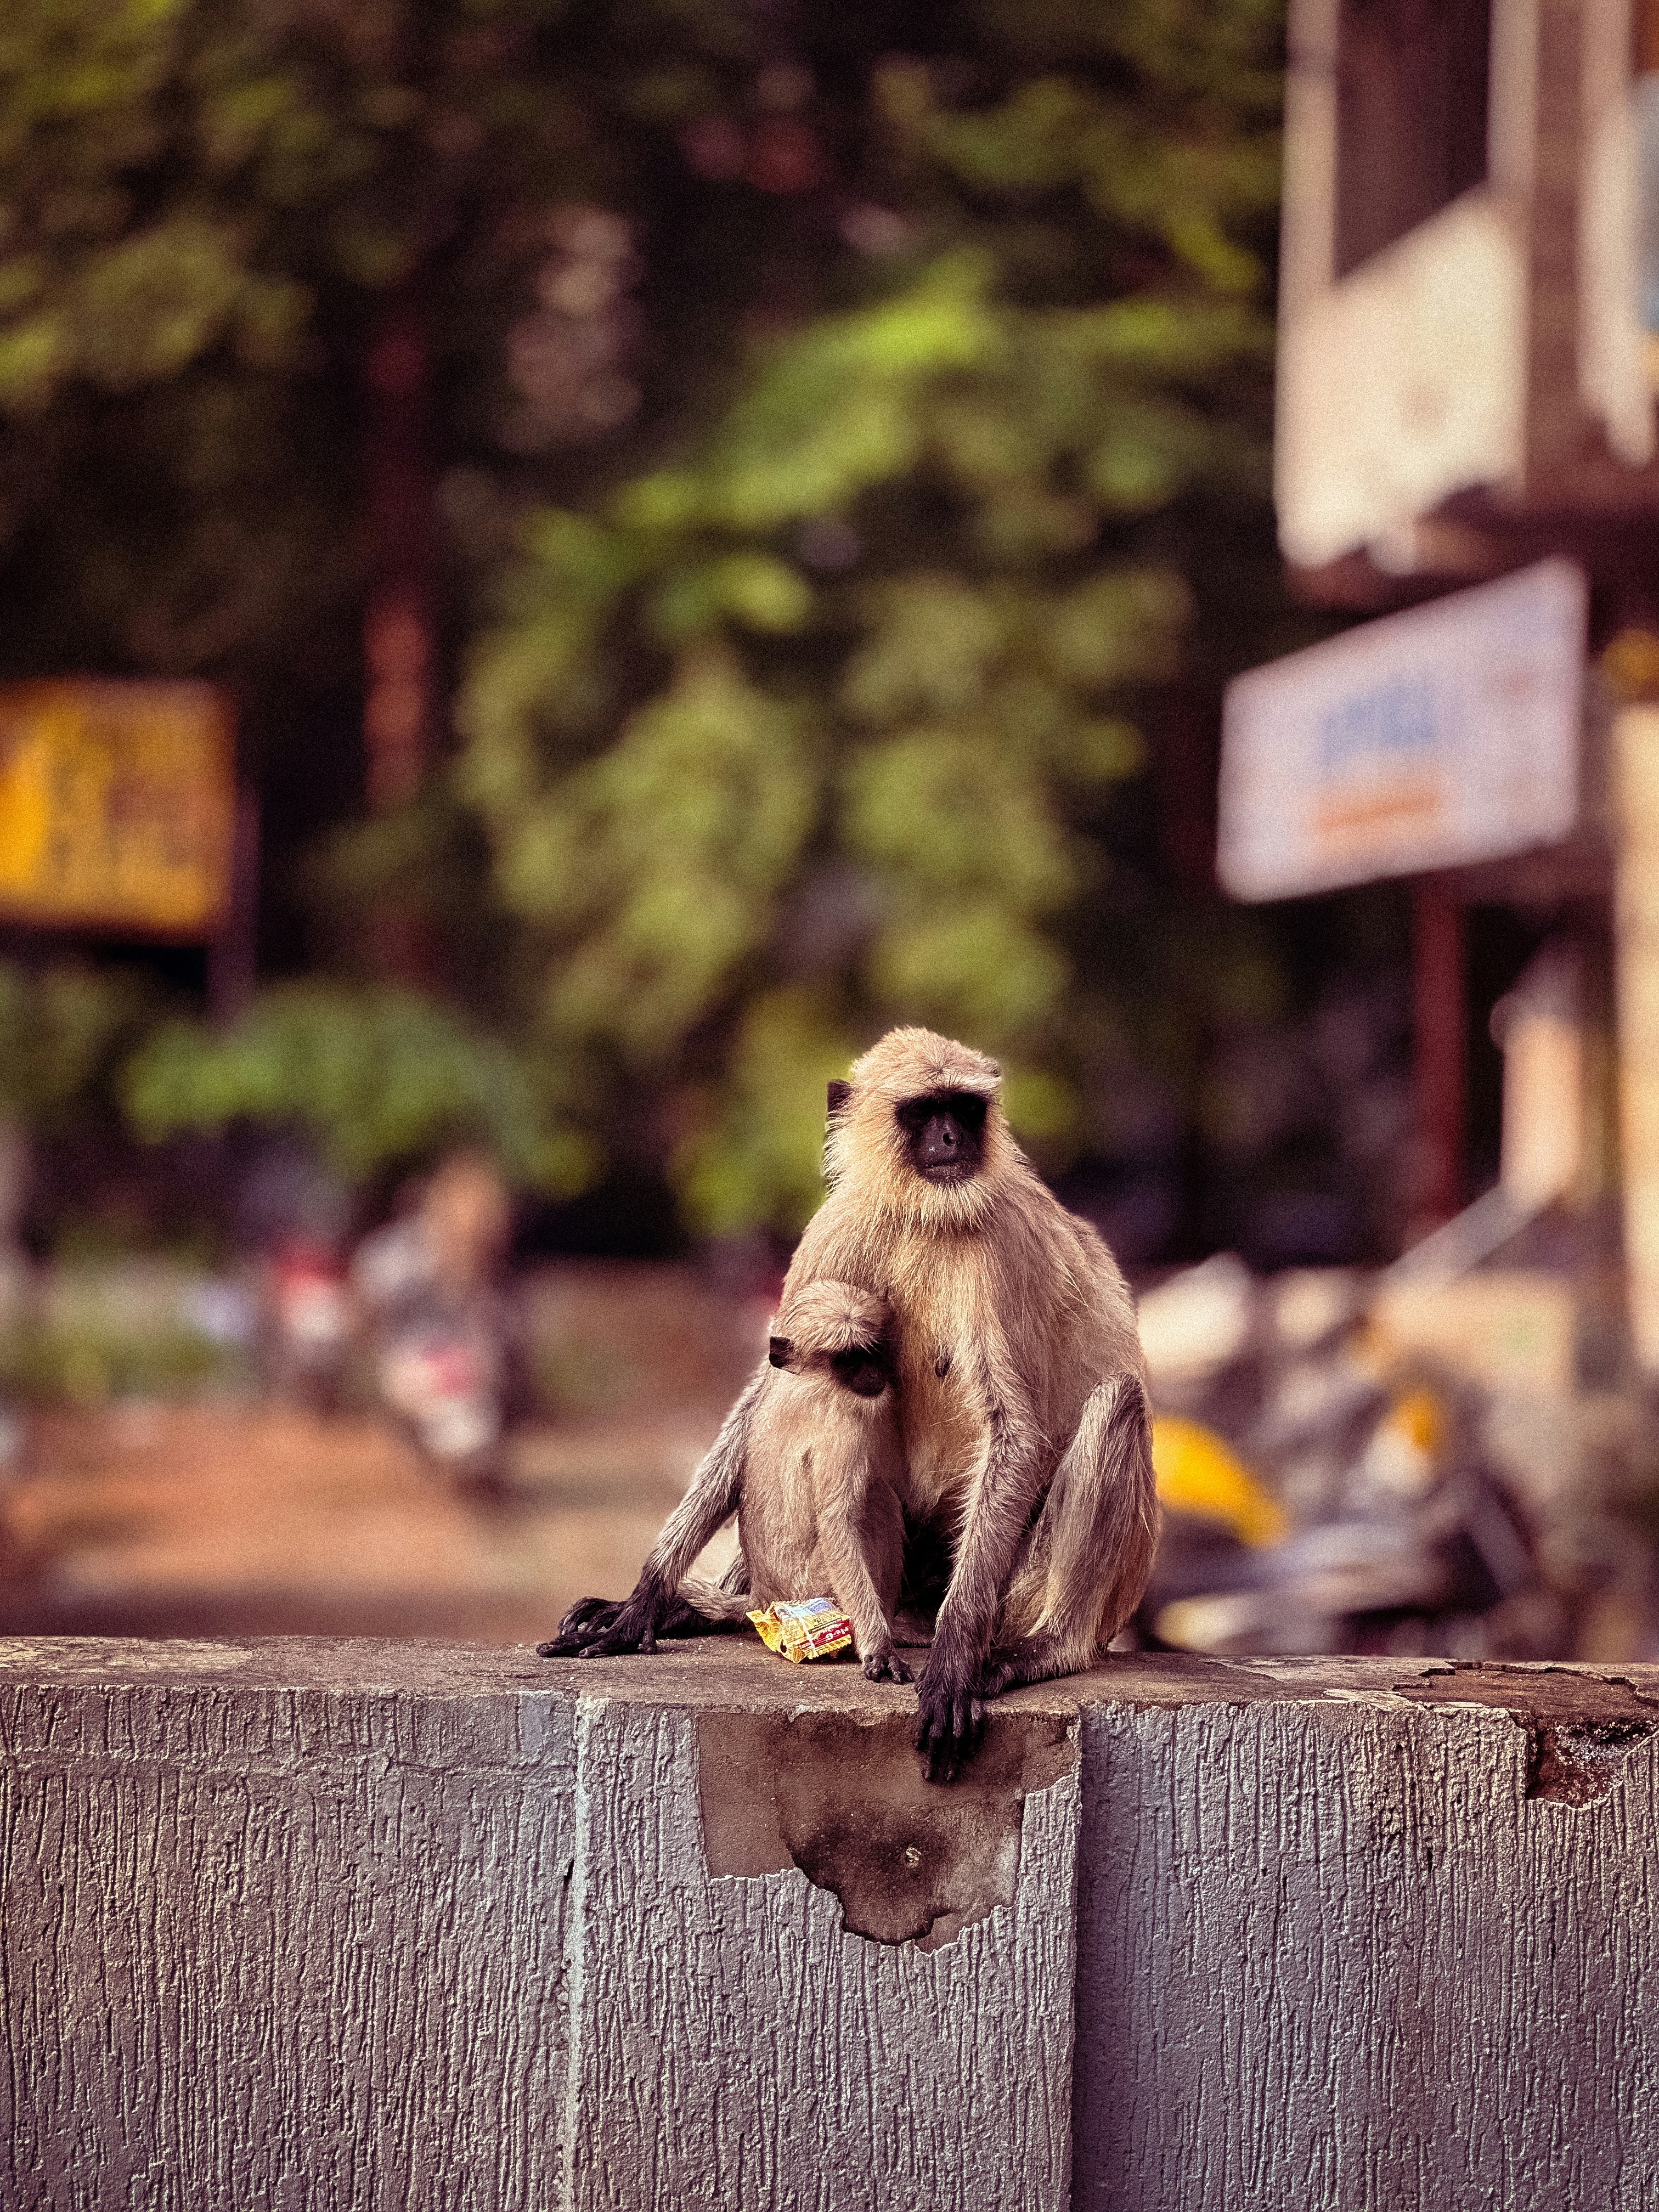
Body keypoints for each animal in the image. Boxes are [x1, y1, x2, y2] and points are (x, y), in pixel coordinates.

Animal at [540, 1279, 914, 1684]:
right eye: (849, 1360)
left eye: (874, 1351)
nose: (874, 1373)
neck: (810, 1384)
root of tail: (761, 1599)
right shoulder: (846, 1425)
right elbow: (838, 1524)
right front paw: (879, 1647)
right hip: (821, 1593)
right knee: (878, 1501)